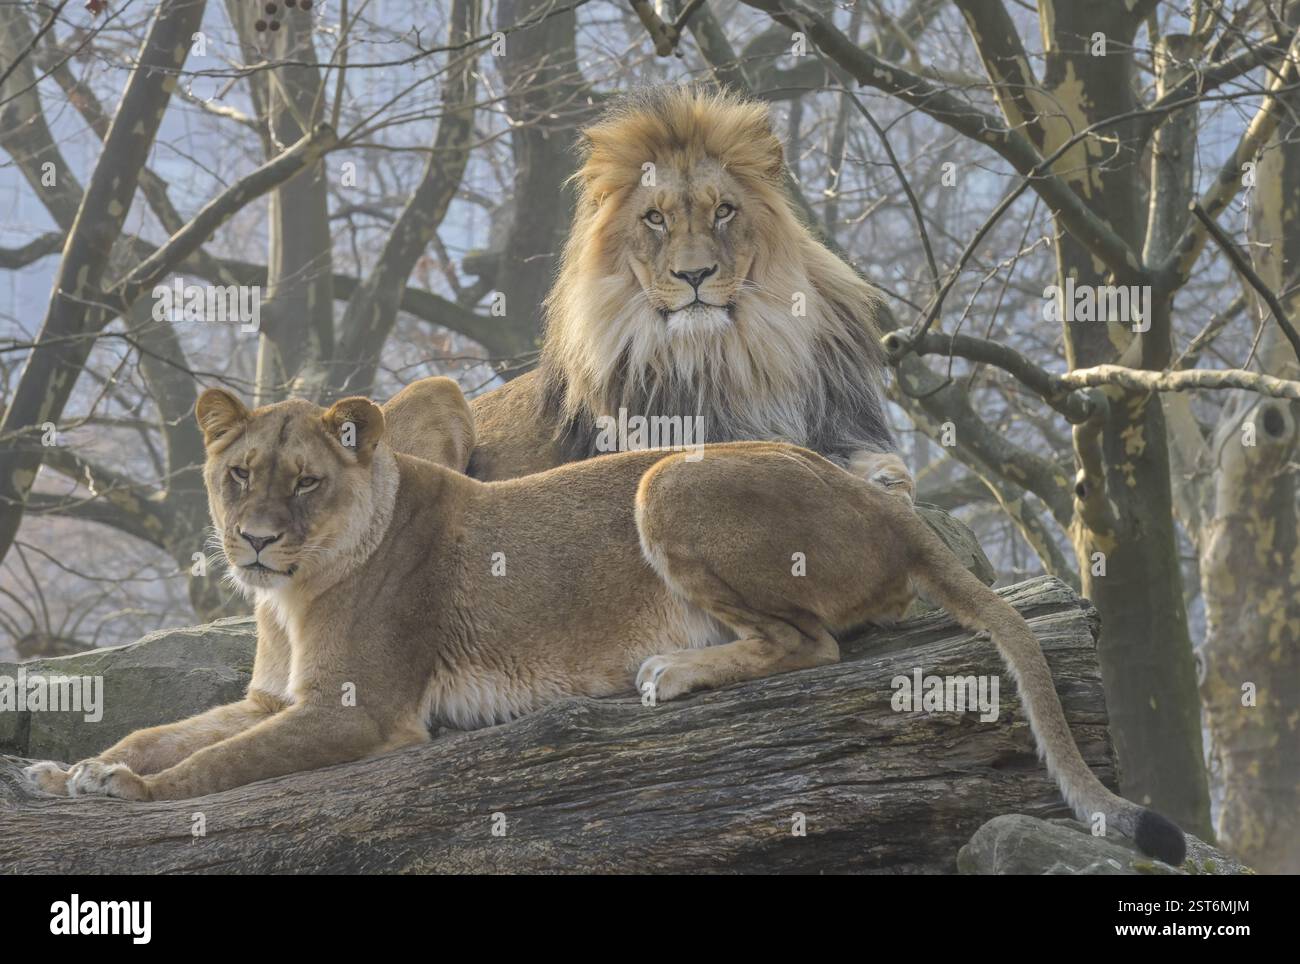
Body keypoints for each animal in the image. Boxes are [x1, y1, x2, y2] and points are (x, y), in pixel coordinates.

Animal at [23, 385, 1185, 866]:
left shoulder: (358, 712)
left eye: (304, 481)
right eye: (238, 475)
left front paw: (130, 795)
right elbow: (166, 730)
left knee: (805, 643)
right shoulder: (273, 693)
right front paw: (69, 770)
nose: (255, 541)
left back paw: (670, 672)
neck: (288, 595)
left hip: (669, 478)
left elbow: (217, 767)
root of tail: (891, 504)